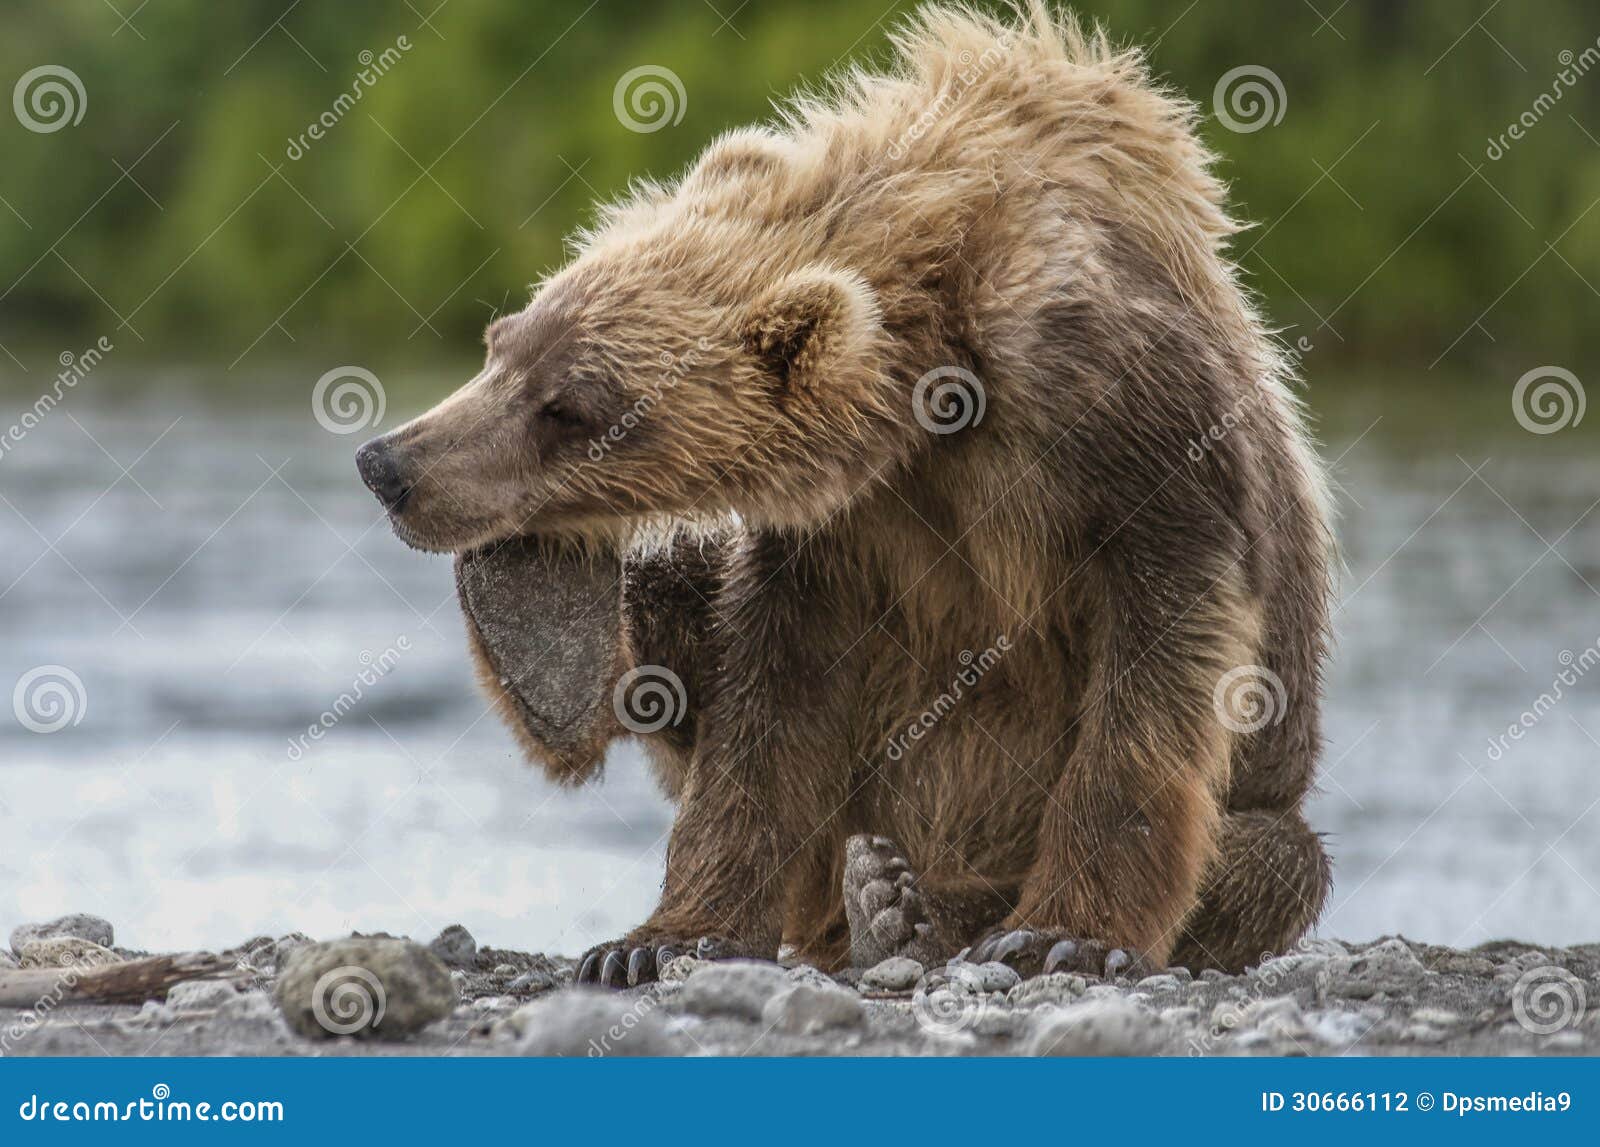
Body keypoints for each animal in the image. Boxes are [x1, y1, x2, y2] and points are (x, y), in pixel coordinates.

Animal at [356, 1, 1334, 985]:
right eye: (501, 342)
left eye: (570, 407)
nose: (391, 464)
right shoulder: (840, 530)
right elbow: (767, 708)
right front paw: (661, 937)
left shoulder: (1128, 436)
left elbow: (1155, 673)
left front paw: (1065, 930)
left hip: (1265, 797)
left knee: (1275, 860)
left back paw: (911, 904)